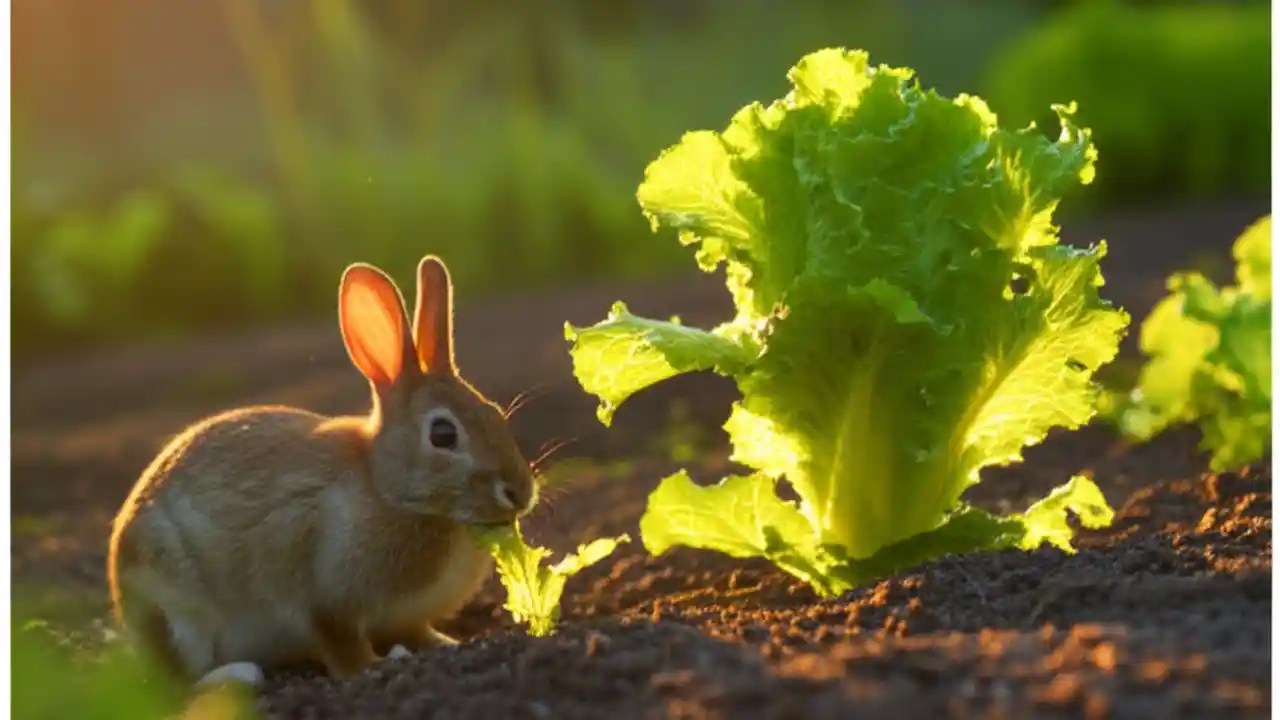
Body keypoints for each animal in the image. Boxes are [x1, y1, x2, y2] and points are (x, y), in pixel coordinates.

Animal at [107, 255, 538, 688]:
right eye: (444, 434)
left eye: (496, 414)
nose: (520, 492)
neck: (385, 488)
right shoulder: (323, 594)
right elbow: (340, 644)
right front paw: (375, 665)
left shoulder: (406, 617)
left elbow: (417, 631)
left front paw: (446, 644)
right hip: (172, 605)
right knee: (175, 679)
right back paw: (239, 673)